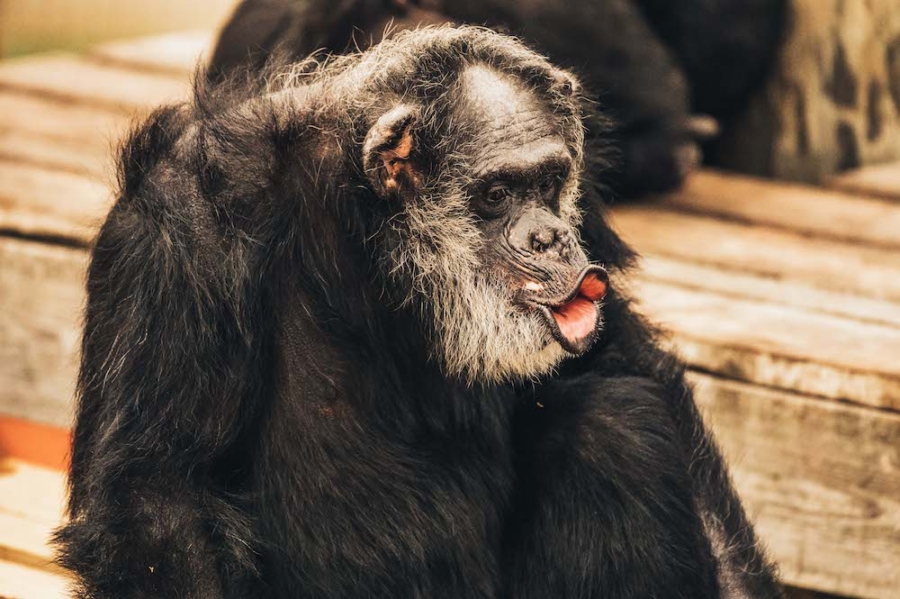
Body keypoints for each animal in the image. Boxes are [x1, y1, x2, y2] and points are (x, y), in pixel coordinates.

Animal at [54, 26, 782, 599]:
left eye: (549, 181)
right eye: (497, 193)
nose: (551, 237)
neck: (373, 229)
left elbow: (624, 357)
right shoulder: (186, 223)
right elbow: (160, 499)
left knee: (614, 421)